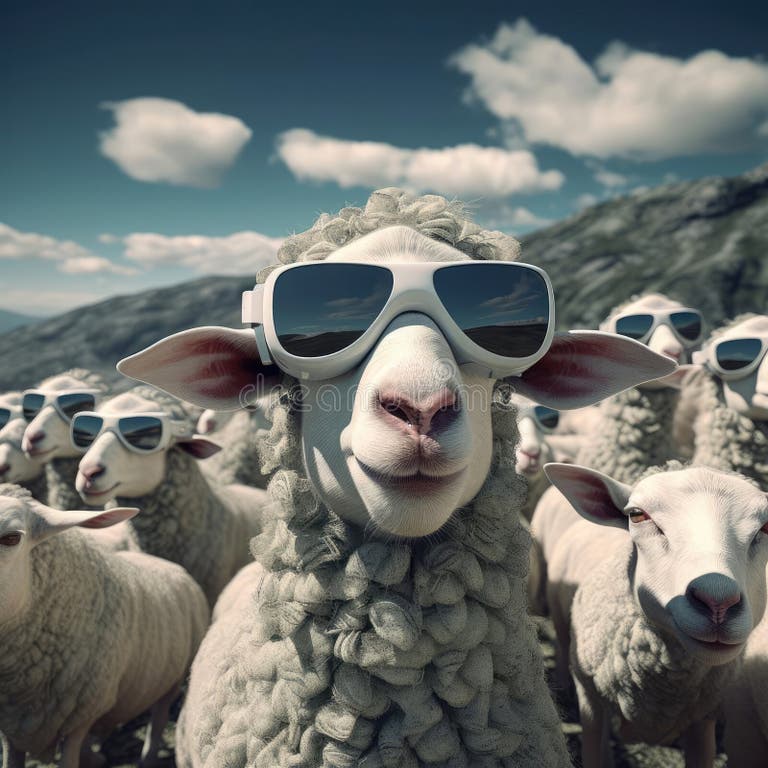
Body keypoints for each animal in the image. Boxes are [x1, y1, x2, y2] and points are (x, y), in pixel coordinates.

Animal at [0, 483, 210, 768]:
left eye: (11, 538)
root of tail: (167, 563)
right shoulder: (11, 727)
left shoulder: (79, 718)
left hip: (175, 678)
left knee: (158, 718)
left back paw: (146, 758)